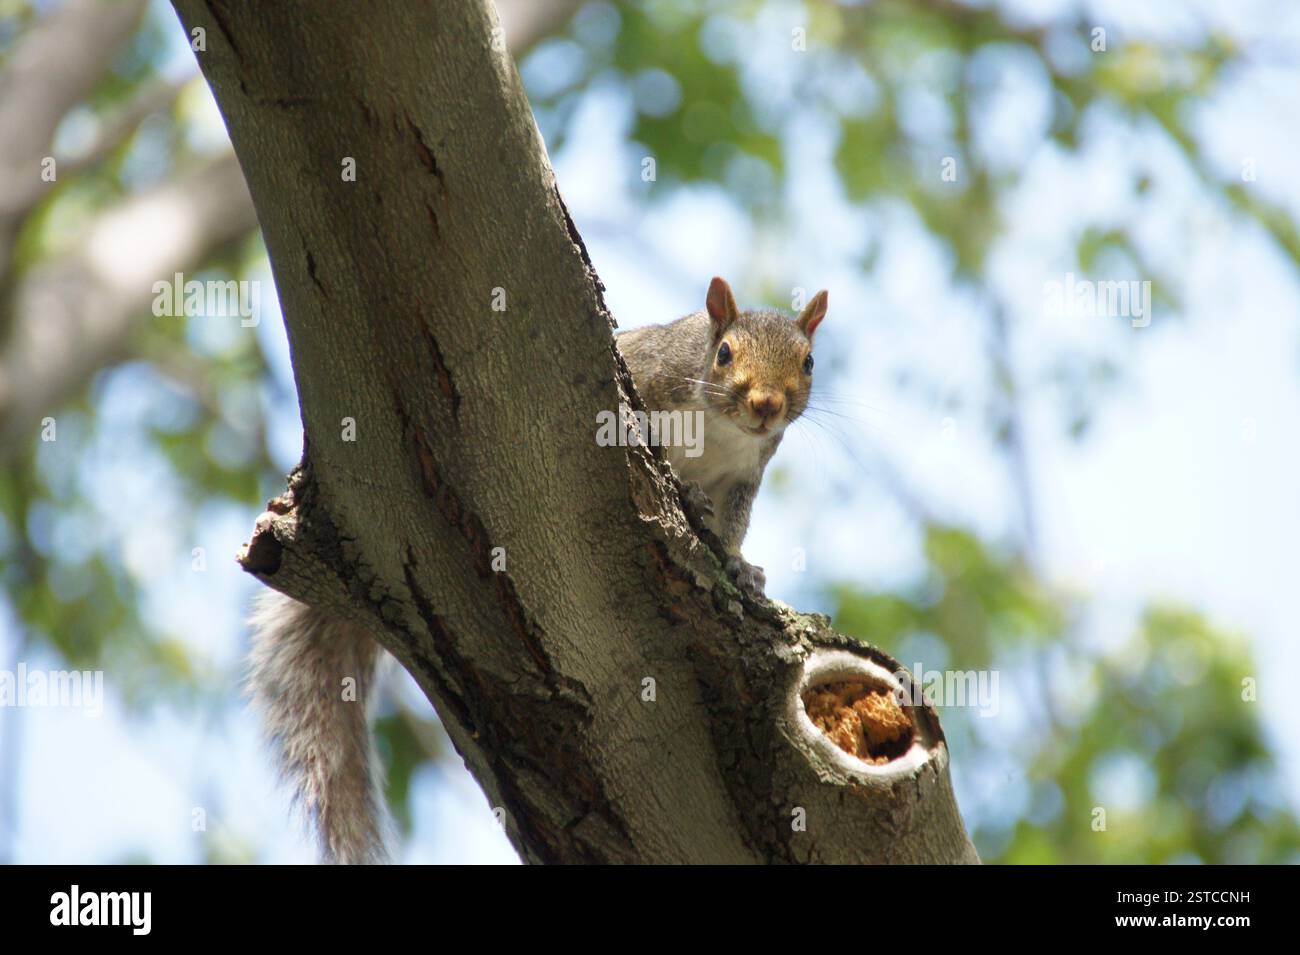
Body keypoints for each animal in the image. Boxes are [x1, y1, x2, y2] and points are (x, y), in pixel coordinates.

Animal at [247, 276, 828, 863]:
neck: (722, 425)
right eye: (724, 352)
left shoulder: (744, 475)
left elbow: (733, 527)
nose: (766, 405)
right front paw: (685, 493)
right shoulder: (648, 381)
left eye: (808, 362)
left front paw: (739, 566)